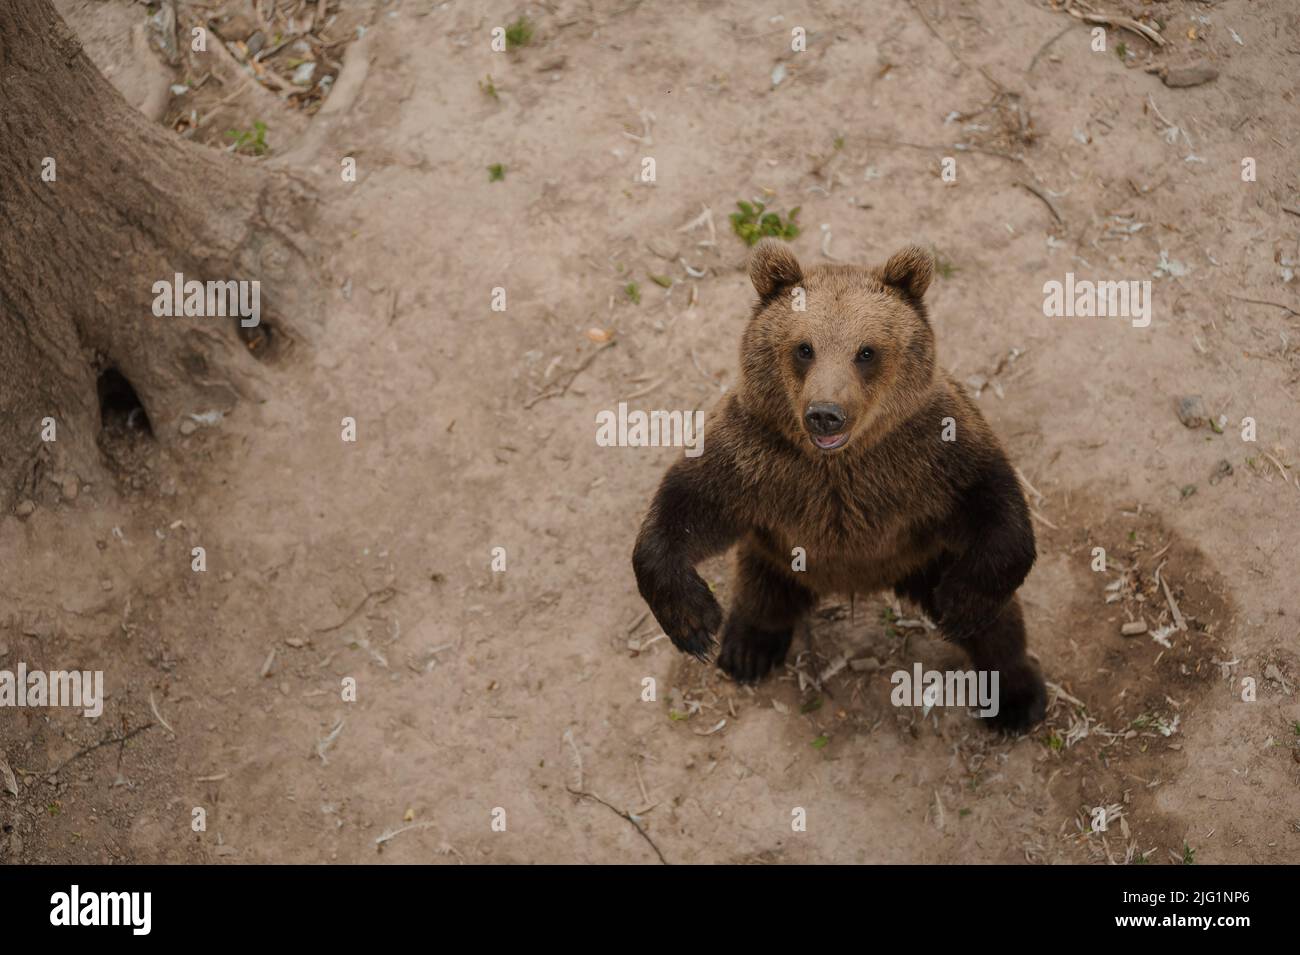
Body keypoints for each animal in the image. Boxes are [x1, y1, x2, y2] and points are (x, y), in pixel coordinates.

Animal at [631, 238, 1047, 731]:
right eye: (804, 348)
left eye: (866, 351)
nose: (825, 413)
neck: (838, 460)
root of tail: (867, 581)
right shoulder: (753, 456)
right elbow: (685, 508)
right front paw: (694, 623)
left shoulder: (932, 453)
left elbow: (994, 505)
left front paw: (964, 606)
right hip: (777, 555)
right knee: (760, 593)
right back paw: (747, 648)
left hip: (929, 557)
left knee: (1000, 627)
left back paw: (1016, 697)